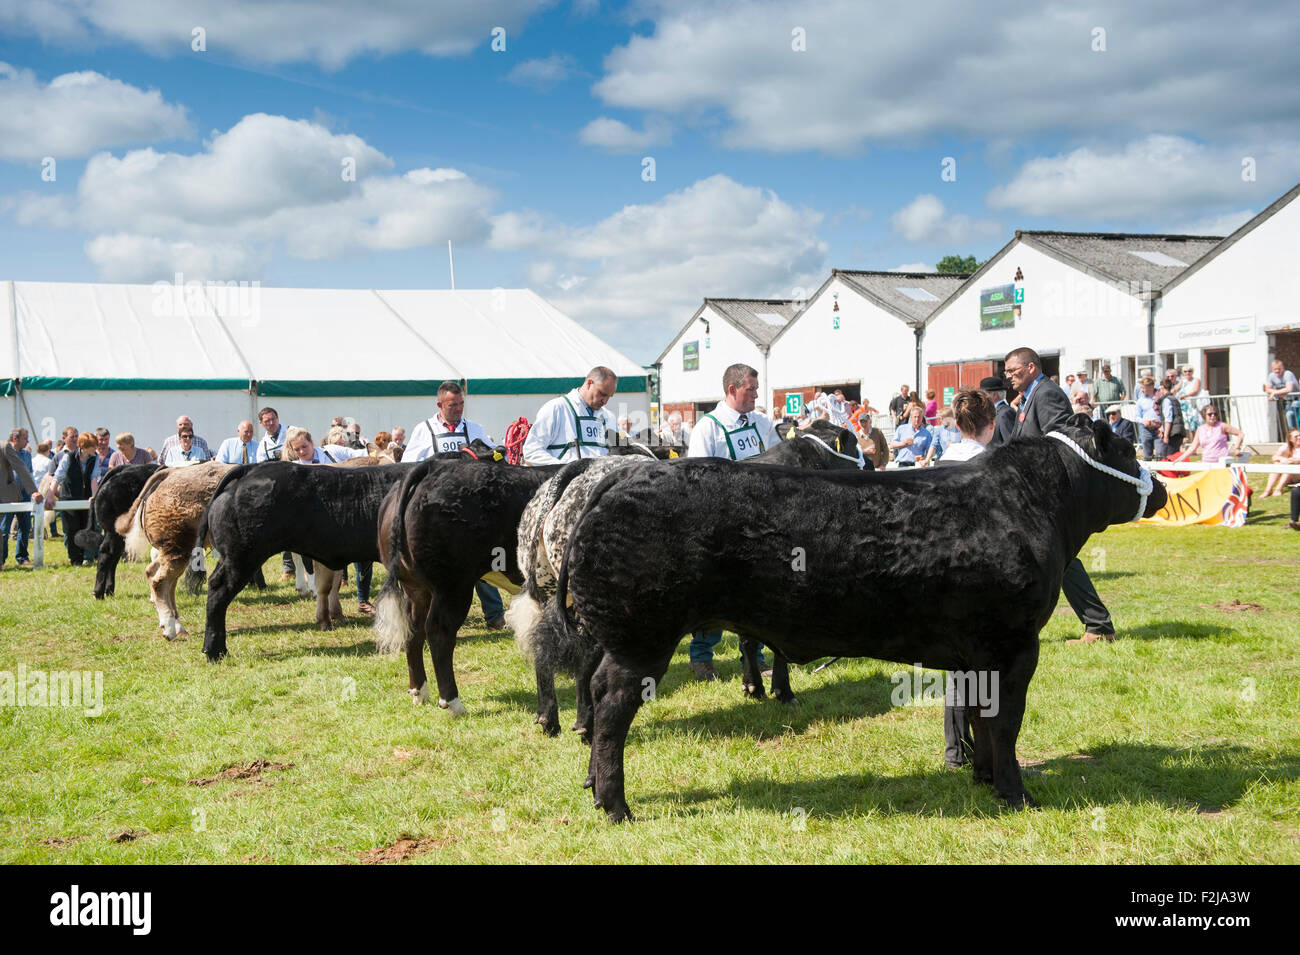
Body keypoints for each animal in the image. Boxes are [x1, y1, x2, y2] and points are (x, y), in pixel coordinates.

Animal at [116, 462, 234, 640]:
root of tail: (171, 472)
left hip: (174, 551)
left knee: (156, 574)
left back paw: (177, 625)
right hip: (178, 548)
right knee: (161, 581)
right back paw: (169, 627)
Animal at [510, 421, 868, 737]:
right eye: (854, 446)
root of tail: (582, 469)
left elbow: (749, 639)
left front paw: (753, 686)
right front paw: (782, 691)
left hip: (548, 592)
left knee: (543, 650)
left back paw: (548, 719)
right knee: (584, 661)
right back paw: (585, 724)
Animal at [548, 420, 1167, 821]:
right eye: (1129, 448)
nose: (1160, 486)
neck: (1029, 504)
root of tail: (622, 475)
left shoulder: (976, 653)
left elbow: (978, 717)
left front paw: (985, 779)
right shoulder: (1013, 645)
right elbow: (1005, 722)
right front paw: (1017, 796)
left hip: (622, 638)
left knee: (597, 693)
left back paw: (593, 783)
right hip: (641, 638)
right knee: (612, 706)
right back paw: (615, 805)